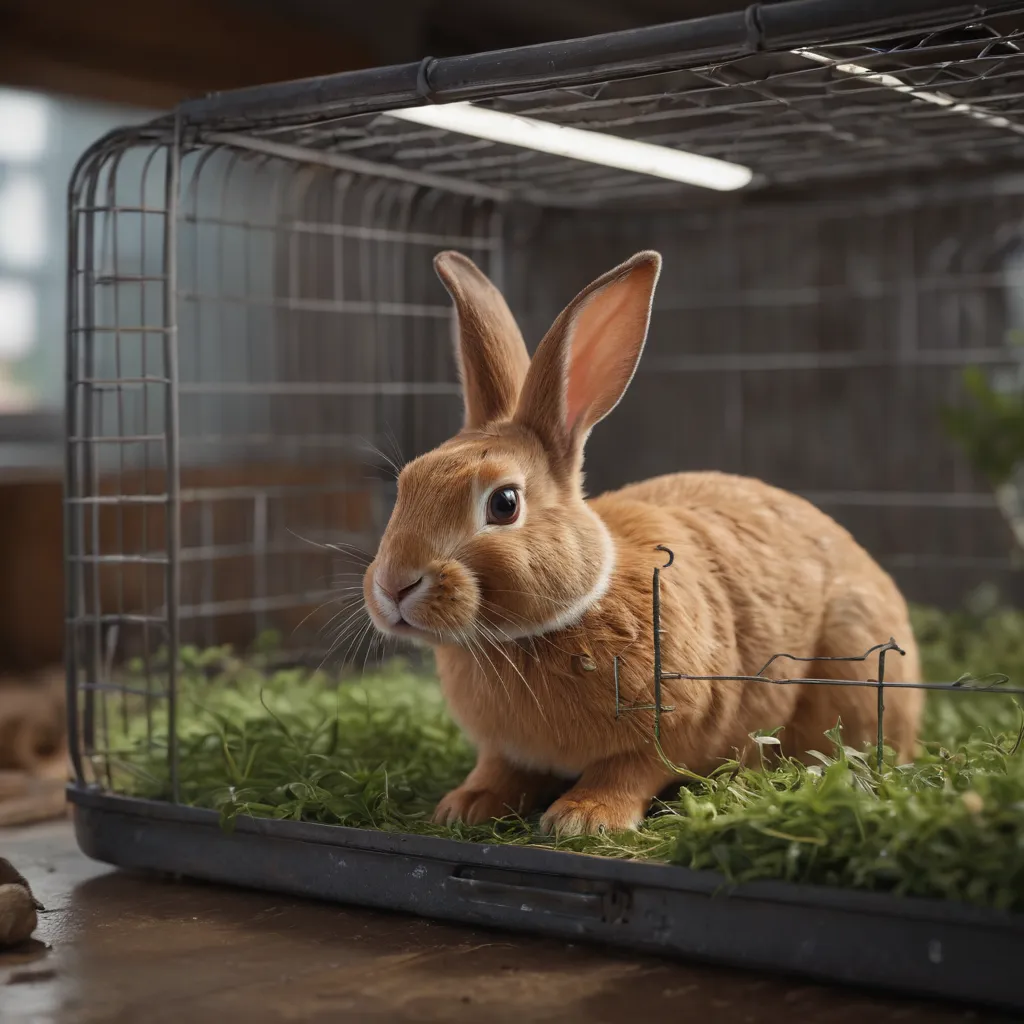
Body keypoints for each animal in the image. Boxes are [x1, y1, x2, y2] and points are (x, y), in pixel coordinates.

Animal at [362, 249, 924, 835]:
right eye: (407, 485)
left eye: (504, 503)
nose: (394, 586)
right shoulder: (504, 749)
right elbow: (499, 769)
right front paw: (464, 805)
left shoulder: (673, 722)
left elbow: (632, 769)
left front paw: (583, 818)